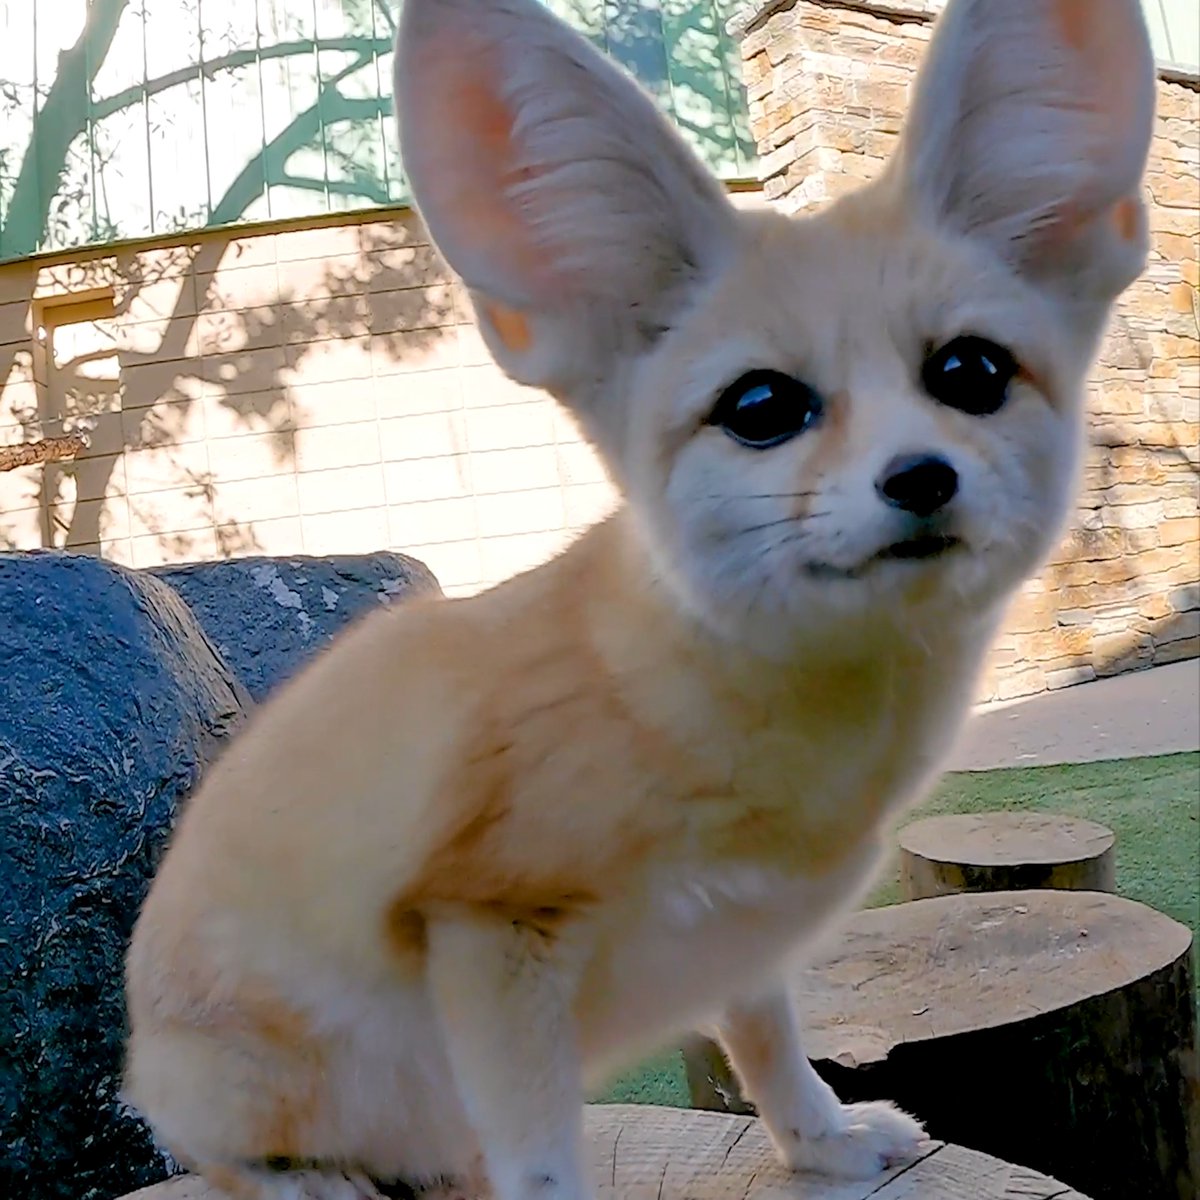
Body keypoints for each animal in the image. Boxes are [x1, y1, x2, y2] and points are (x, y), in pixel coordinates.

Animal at [121, 0, 1156, 1196]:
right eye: (761, 408)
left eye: (971, 374)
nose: (920, 478)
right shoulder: (491, 933)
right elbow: (540, 1165)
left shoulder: (741, 937)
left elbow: (768, 1043)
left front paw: (823, 1144)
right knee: (242, 1162)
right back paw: (317, 1180)